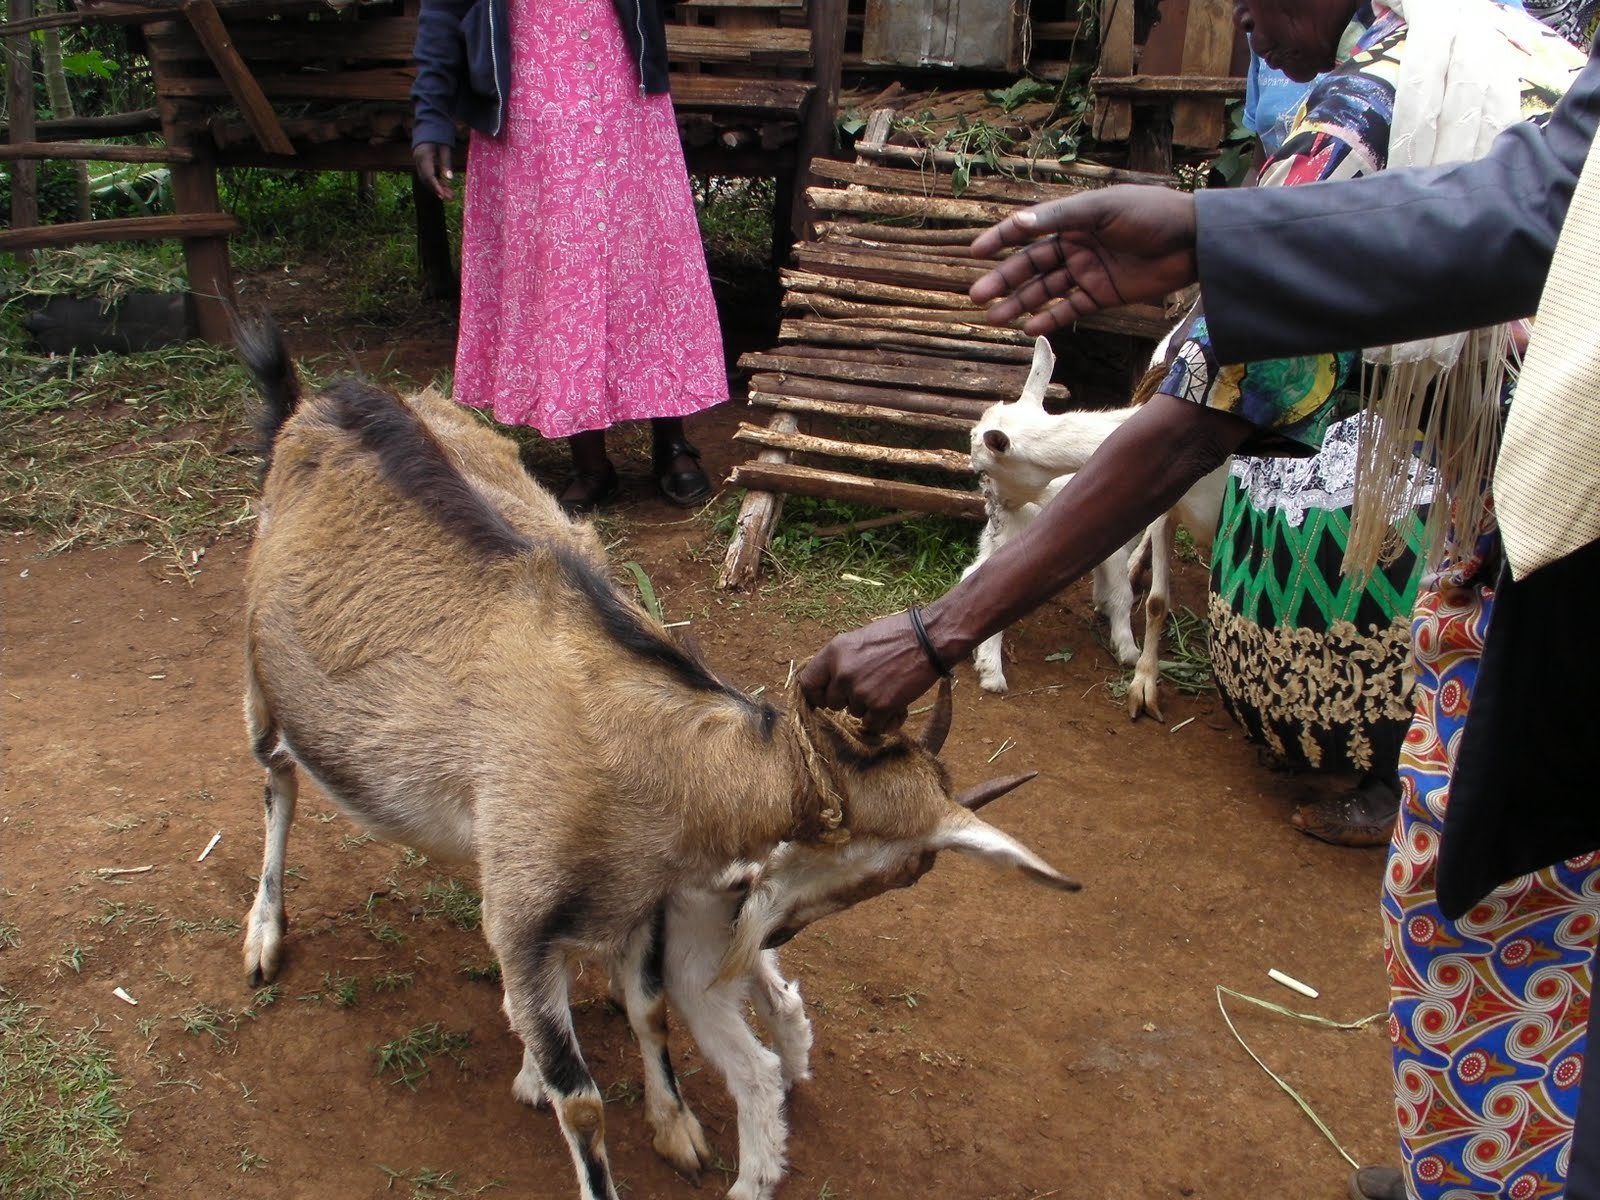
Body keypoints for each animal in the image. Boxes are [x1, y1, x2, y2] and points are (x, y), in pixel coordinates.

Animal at [234, 321, 1079, 1200]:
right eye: (870, 870)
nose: (773, 937)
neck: (642, 760)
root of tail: (316, 402)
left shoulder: (640, 903)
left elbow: (647, 1009)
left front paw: (675, 1127)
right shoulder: (523, 919)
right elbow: (579, 1099)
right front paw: (569, 1099)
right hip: (260, 680)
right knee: (276, 779)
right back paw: (264, 933)